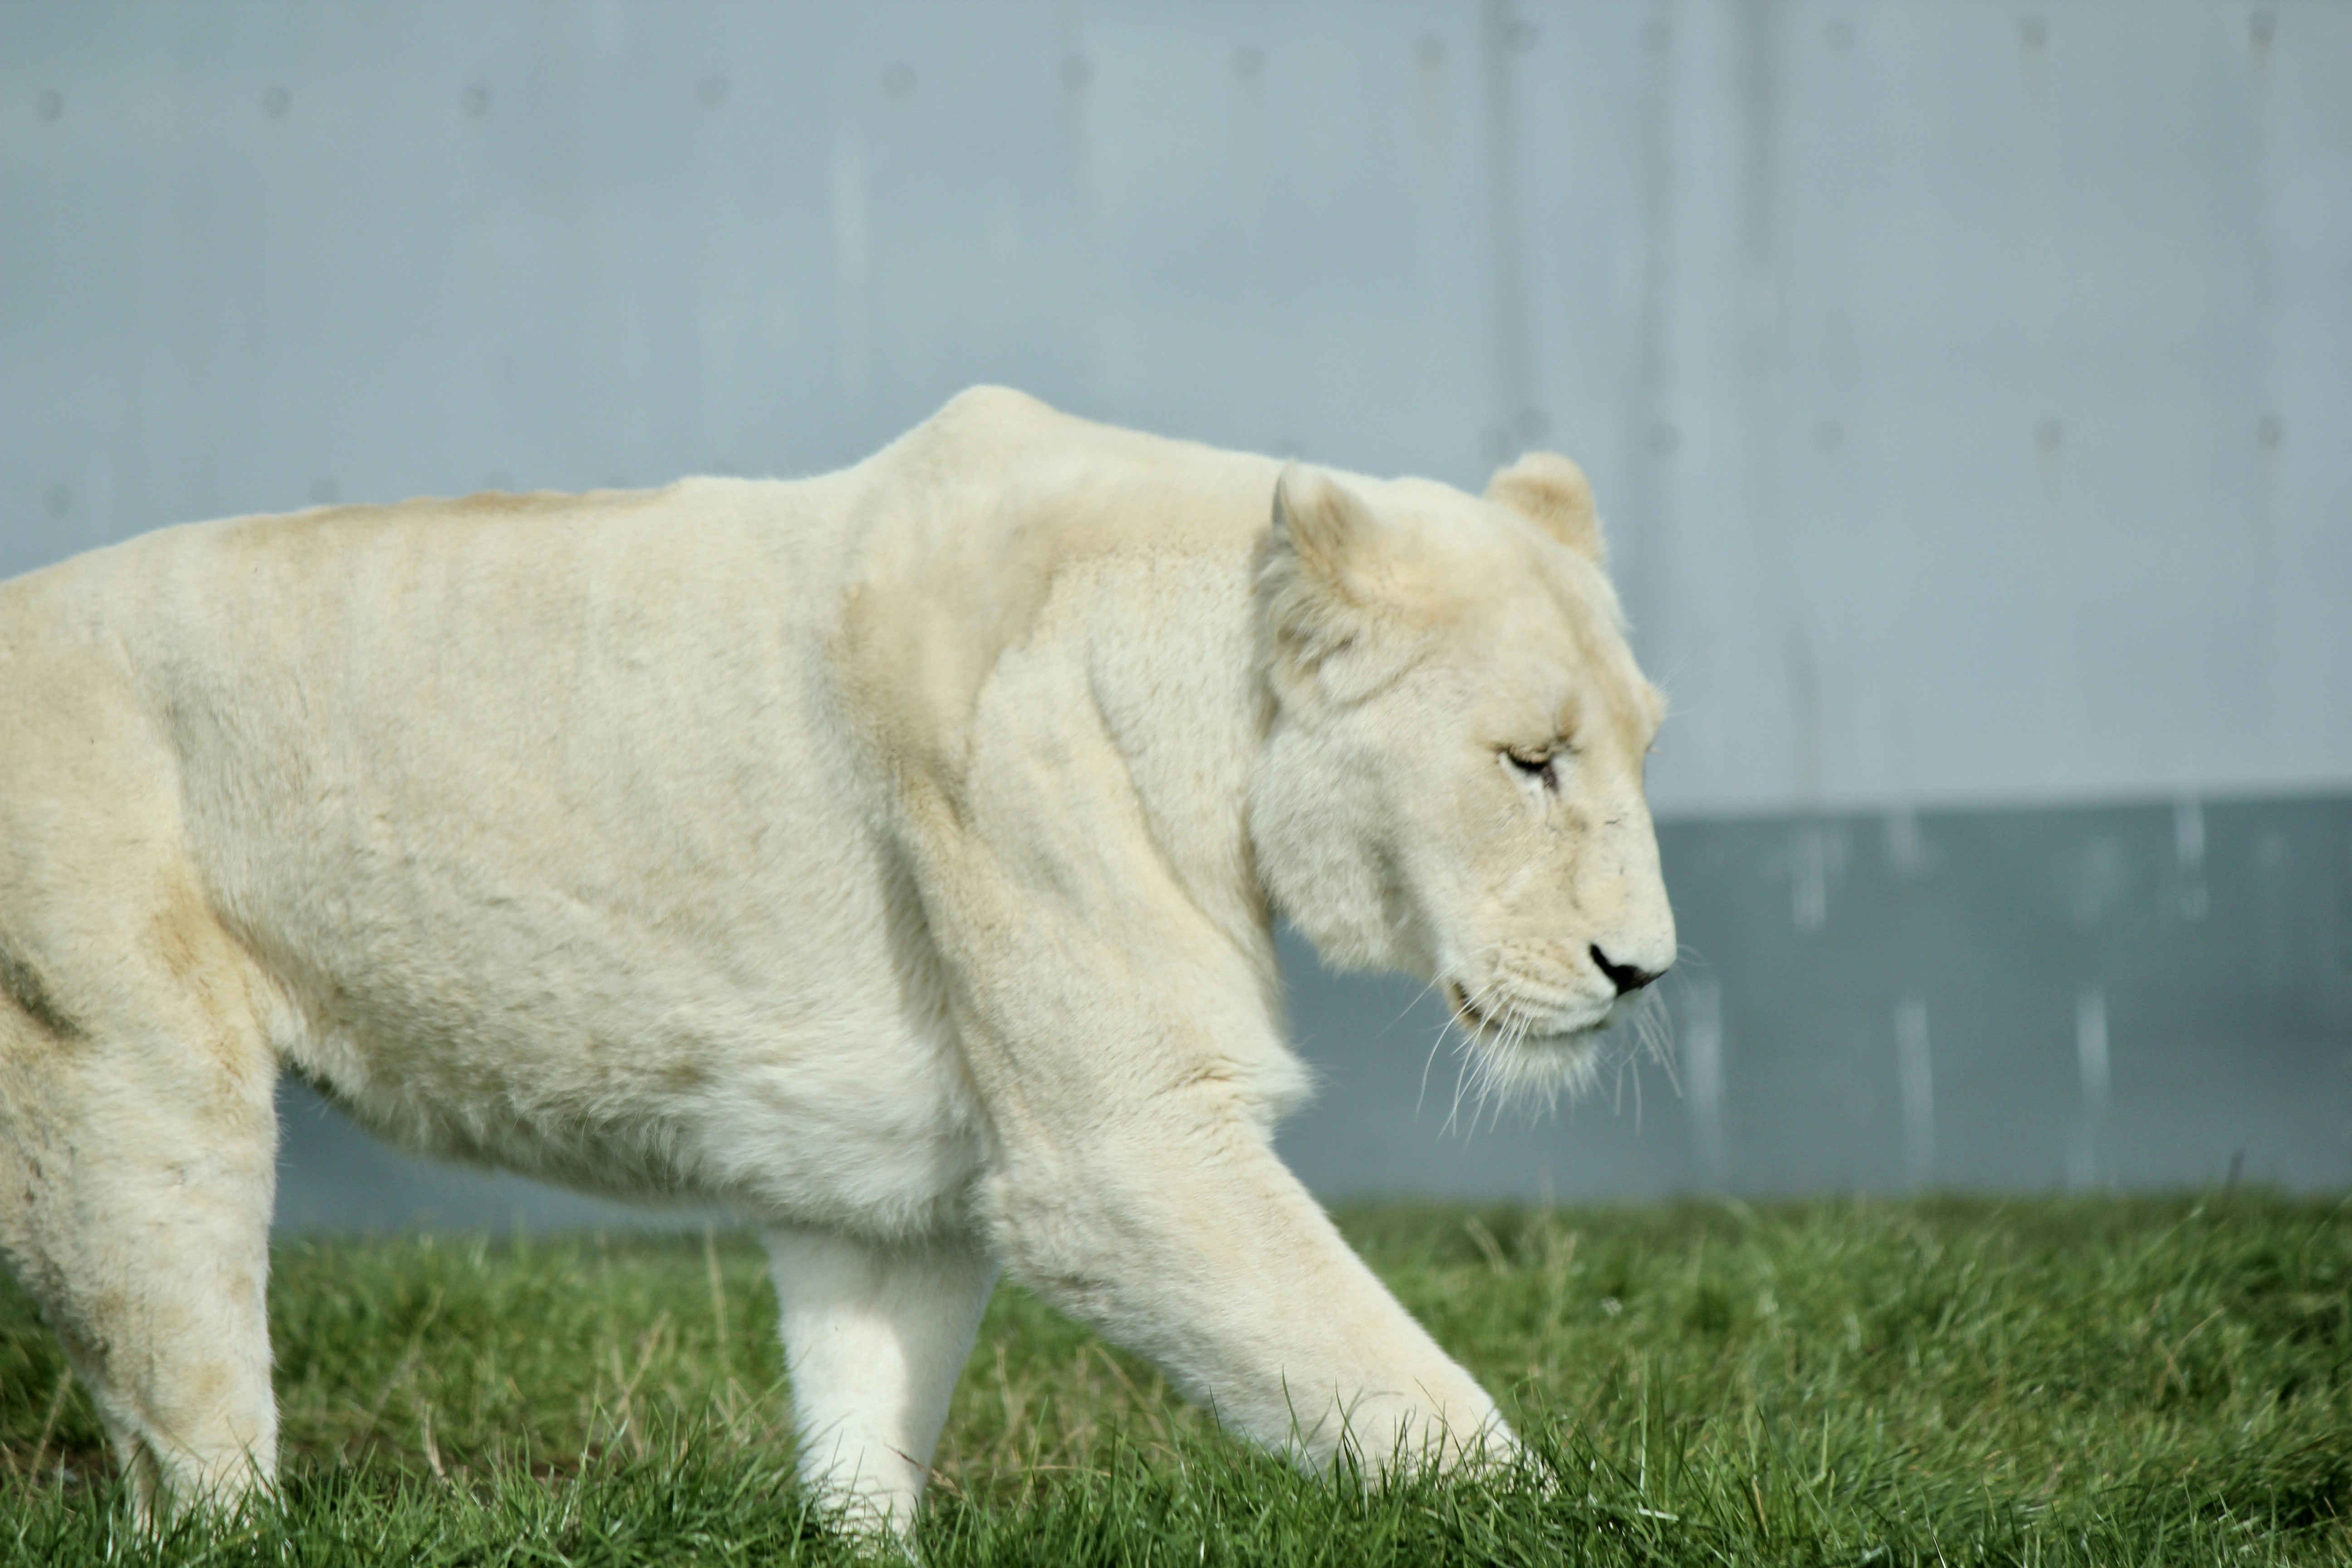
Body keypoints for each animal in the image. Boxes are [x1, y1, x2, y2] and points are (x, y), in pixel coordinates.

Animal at [0, 388, 1673, 1527]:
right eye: (1529, 761)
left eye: (1641, 746)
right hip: (124, 1063)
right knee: (178, 1388)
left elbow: (871, 1402)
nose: (1643, 969)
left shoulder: (886, 1176)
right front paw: (1576, 1521)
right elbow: (1385, 1376)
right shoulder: (1126, 1151)